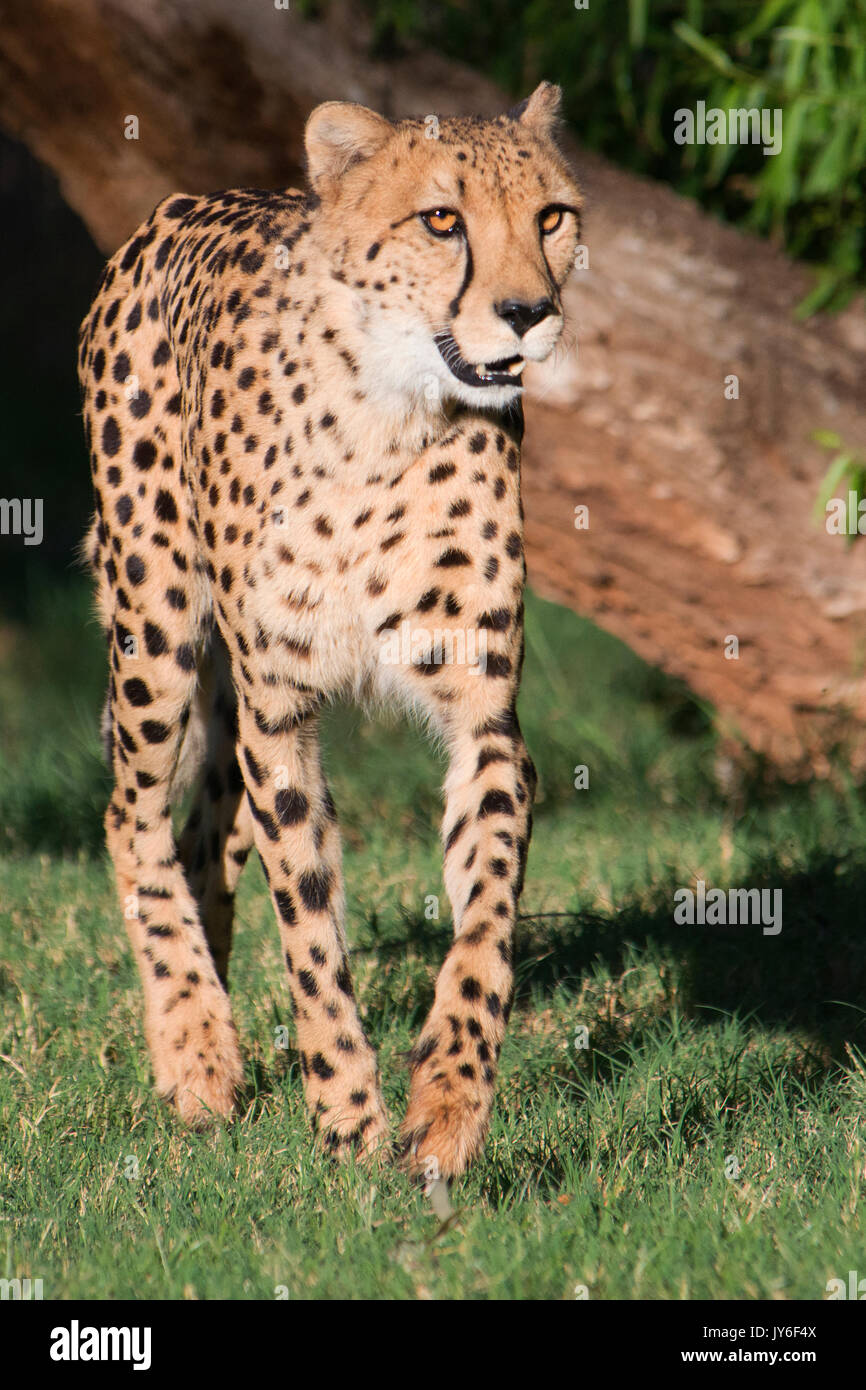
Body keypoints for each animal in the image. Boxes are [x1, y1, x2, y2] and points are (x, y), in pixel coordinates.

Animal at [77, 81, 583, 1178]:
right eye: (442, 219)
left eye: (551, 217)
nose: (529, 314)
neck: (385, 414)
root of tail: (181, 202)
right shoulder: (279, 711)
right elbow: (310, 927)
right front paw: (347, 1116)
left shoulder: (485, 717)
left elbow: (484, 923)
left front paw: (446, 1106)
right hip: (158, 622)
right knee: (132, 816)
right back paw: (192, 1045)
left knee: (207, 832)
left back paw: (219, 1019)